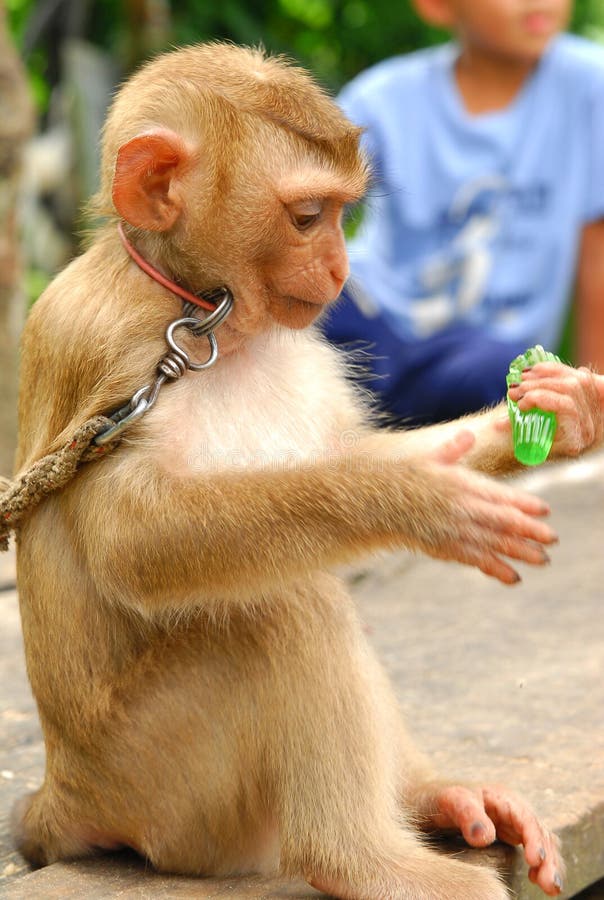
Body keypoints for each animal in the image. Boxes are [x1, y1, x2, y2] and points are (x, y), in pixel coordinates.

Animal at [10, 42, 604, 900]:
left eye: (339, 212)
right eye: (306, 217)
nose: (339, 269)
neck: (193, 313)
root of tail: (64, 795)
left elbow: (341, 456)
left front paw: (558, 418)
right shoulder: (108, 355)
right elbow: (131, 542)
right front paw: (409, 499)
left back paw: (434, 797)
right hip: (156, 784)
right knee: (284, 609)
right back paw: (364, 860)